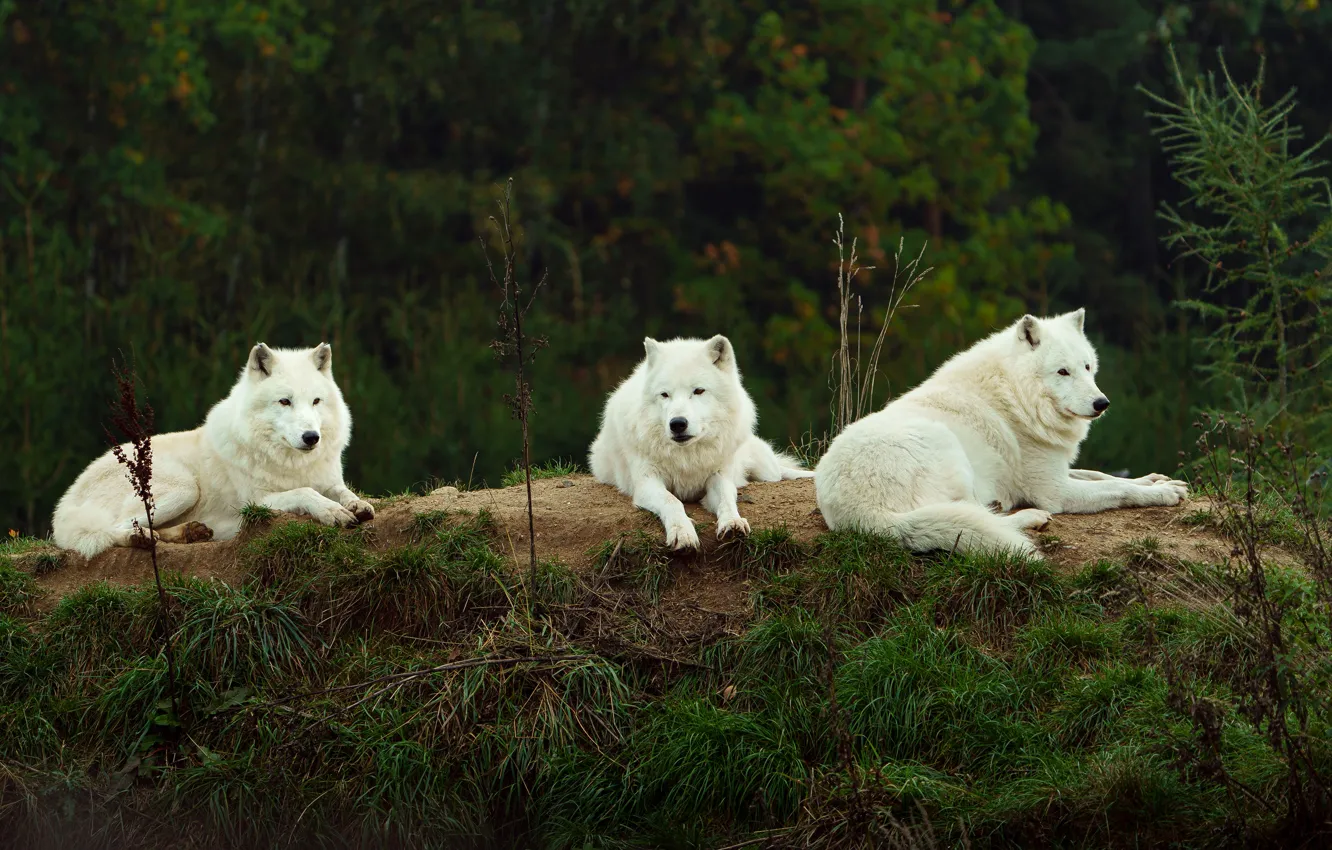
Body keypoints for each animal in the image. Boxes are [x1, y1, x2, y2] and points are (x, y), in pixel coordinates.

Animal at [52, 343, 375, 558]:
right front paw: (334, 513)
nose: (311, 437)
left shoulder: (329, 480)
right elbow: (306, 493)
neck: (291, 463)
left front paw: (357, 505)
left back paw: (189, 533)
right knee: (108, 530)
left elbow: (342, 491)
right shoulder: (256, 502)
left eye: (316, 401)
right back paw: (139, 537)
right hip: (184, 488)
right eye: (285, 401)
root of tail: (67, 499)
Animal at [589, 335, 814, 550]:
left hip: (765, 470)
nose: (677, 424)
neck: (687, 457)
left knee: (781, 473)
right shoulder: (647, 482)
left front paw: (732, 523)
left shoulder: (720, 476)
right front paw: (682, 533)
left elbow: (727, 499)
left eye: (698, 391)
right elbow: (672, 501)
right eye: (665, 395)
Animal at [814, 309, 1187, 557]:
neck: (1015, 396)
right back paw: (1029, 517)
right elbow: (1118, 488)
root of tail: (857, 515)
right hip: (944, 444)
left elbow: (1102, 474)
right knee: (974, 519)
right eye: (1062, 372)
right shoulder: (1055, 490)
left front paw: (1155, 479)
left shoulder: (1058, 469)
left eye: (1087, 368)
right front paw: (1163, 493)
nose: (1102, 403)